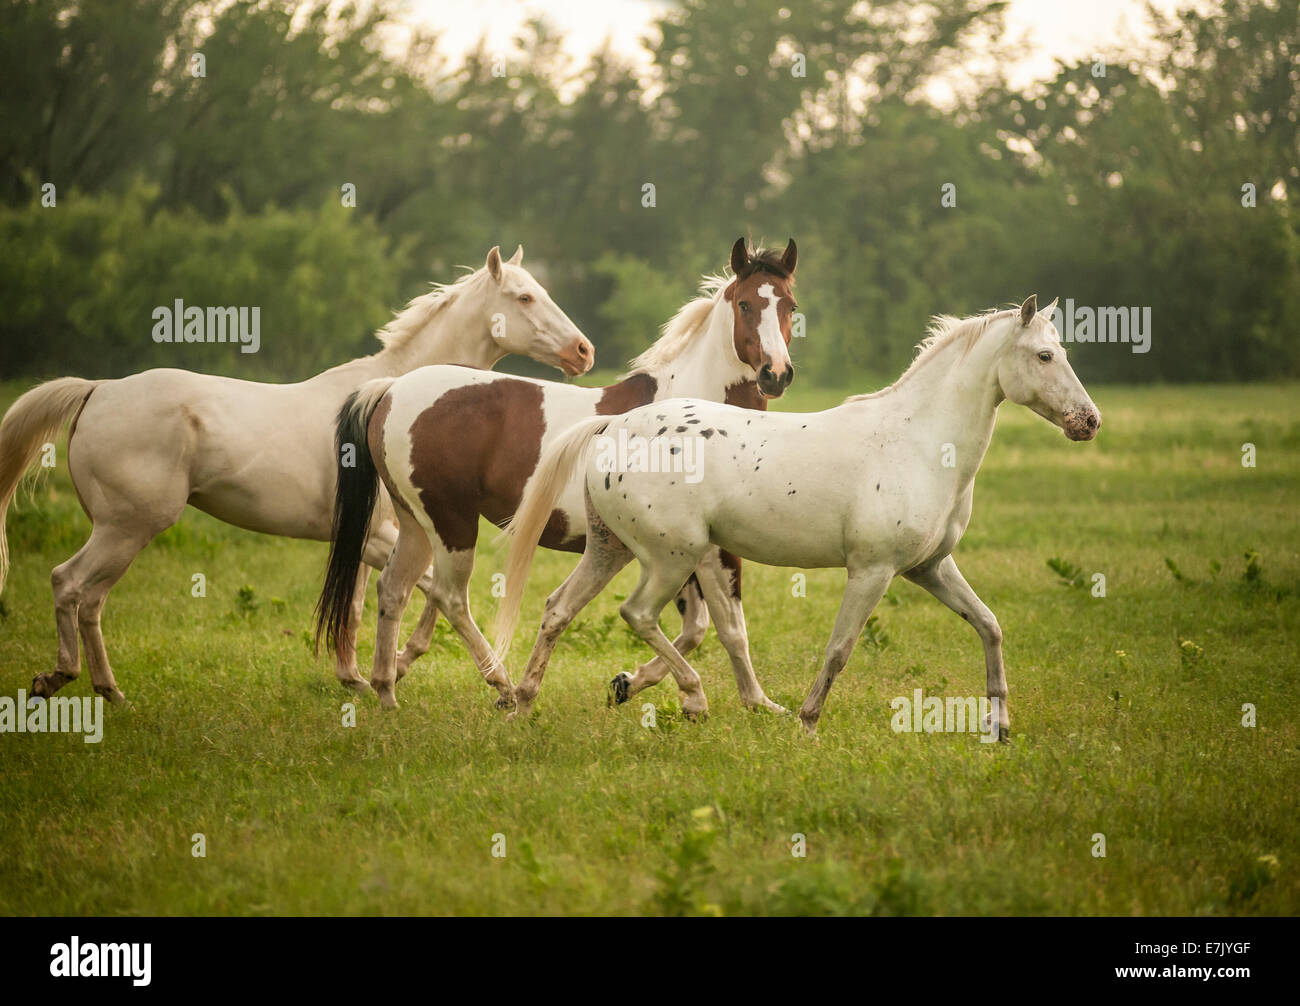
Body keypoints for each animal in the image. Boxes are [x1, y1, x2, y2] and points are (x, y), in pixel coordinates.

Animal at [0, 245, 593, 702]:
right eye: (524, 297)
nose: (584, 351)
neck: (390, 395)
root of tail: (96, 390)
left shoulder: (366, 538)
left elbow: (359, 605)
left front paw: (362, 677)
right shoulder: (382, 534)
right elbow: (422, 591)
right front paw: (425, 672)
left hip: (123, 532)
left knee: (90, 600)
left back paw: (108, 690)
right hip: (128, 527)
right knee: (69, 584)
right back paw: (59, 677)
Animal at [314, 237, 798, 711]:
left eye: (790, 306)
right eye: (744, 304)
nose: (775, 374)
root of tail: (392, 390)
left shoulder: (684, 550)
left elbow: (698, 627)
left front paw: (628, 683)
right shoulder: (709, 548)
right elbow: (728, 627)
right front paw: (757, 703)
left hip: (416, 524)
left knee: (392, 589)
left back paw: (387, 690)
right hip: (452, 526)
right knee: (450, 598)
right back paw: (502, 686)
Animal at [495, 295, 1101, 733]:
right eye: (1045, 356)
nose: (1089, 421)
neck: (919, 440)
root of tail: (614, 426)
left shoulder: (930, 568)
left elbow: (989, 625)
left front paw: (1000, 725)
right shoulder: (873, 571)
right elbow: (839, 649)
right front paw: (808, 722)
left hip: (611, 549)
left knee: (558, 608)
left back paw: (522, 702)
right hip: (671, 558)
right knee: (638, 614)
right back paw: (693, 698)